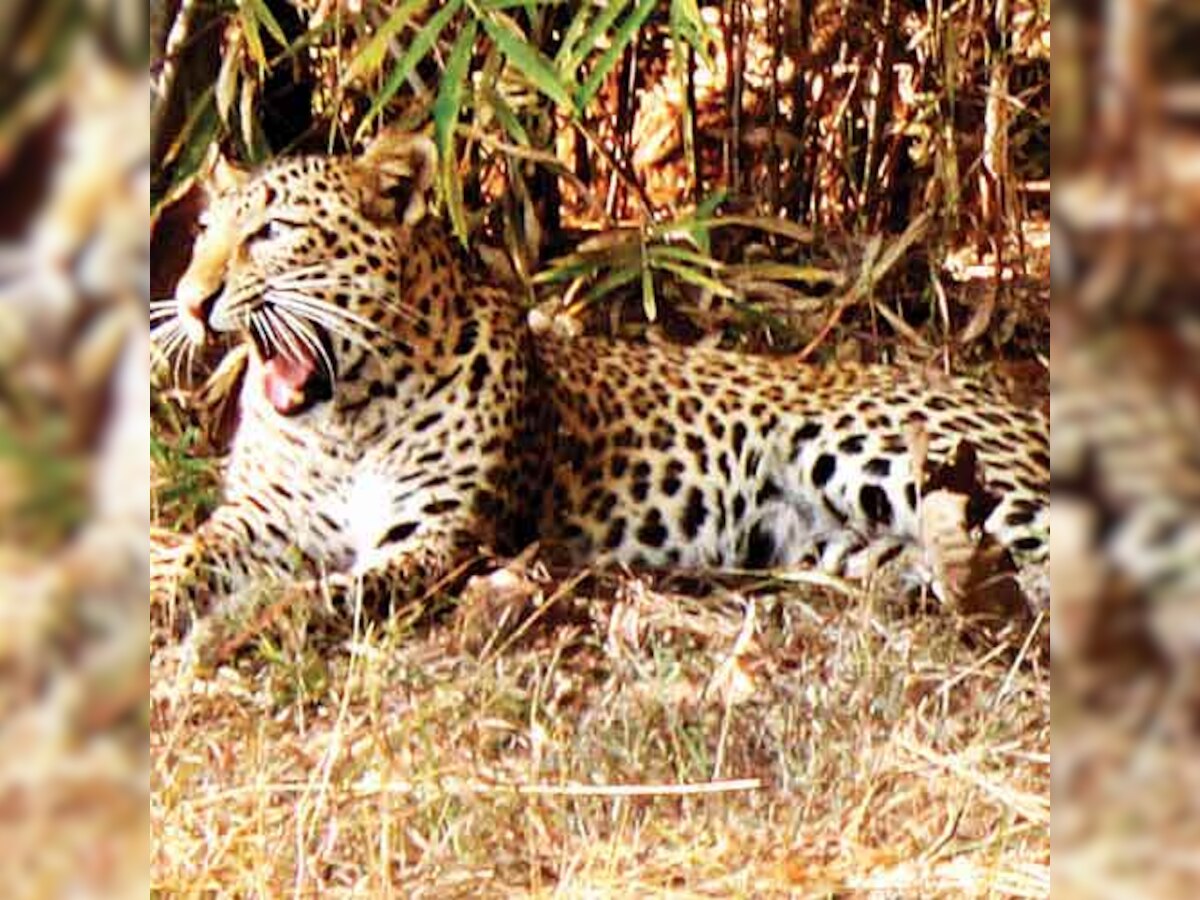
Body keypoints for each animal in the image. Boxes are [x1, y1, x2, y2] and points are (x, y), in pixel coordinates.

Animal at [150, 129, 1050, 656]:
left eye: (272, 233)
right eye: (203, 235)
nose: (190, 299)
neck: (344, 419)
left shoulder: (441, 540)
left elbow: (335, 591)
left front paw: (236, 628)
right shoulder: (257, 520)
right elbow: (190, 559)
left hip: (864, 448)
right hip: (844, 545)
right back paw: (977, 585)